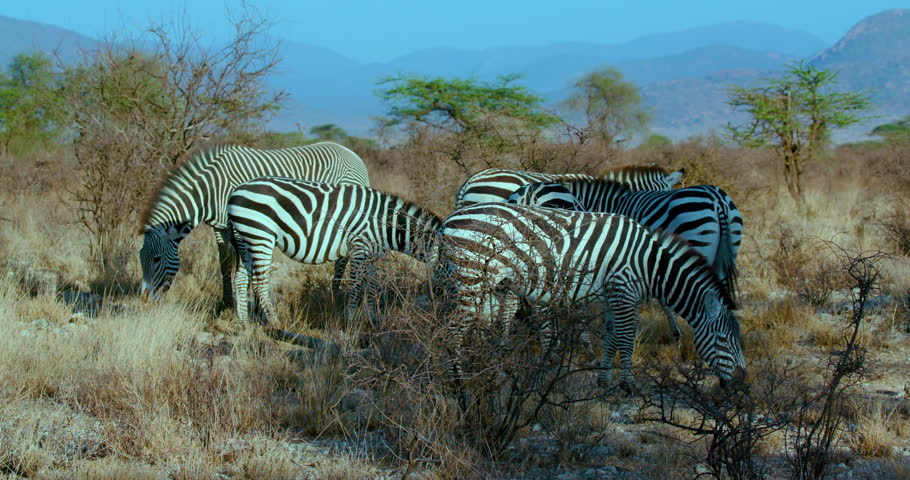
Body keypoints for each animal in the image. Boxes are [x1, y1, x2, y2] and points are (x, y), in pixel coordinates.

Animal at [139, 142, 370, 309]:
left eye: (156, 259)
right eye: (140, 258)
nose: (143, 301)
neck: (211, 190)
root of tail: (354, 155)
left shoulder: (242, 224)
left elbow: (245, 265)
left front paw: (255, 307)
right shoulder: (221, 227)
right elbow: (225, 262)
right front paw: (227, 304)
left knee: (344, 258)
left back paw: (336, 295)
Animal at [228, 178, 442, 328]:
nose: (440, 304)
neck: (384, 224)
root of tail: (235, 192)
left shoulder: (373, 255)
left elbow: (372, 287)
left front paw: (373, 321)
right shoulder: (359, 248)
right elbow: (356, 287)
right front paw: (350, 323)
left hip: (244, 238)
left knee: (240, 279)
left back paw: (243, 323)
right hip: (260, 236)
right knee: (259, 283)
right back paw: (275, 322)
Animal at [433, 203, 745, 388]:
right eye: (722, 339)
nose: (742, 384)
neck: (649, 263)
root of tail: (450, 219)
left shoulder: (612, 294)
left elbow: (611, 336)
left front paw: (604, 380)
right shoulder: (623, 288)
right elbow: (626, 337)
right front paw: (628, 385)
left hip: (490, 284)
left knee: (480, 328)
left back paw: (486, 372)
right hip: (472, 277)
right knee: (450, 332)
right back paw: (457, 383)